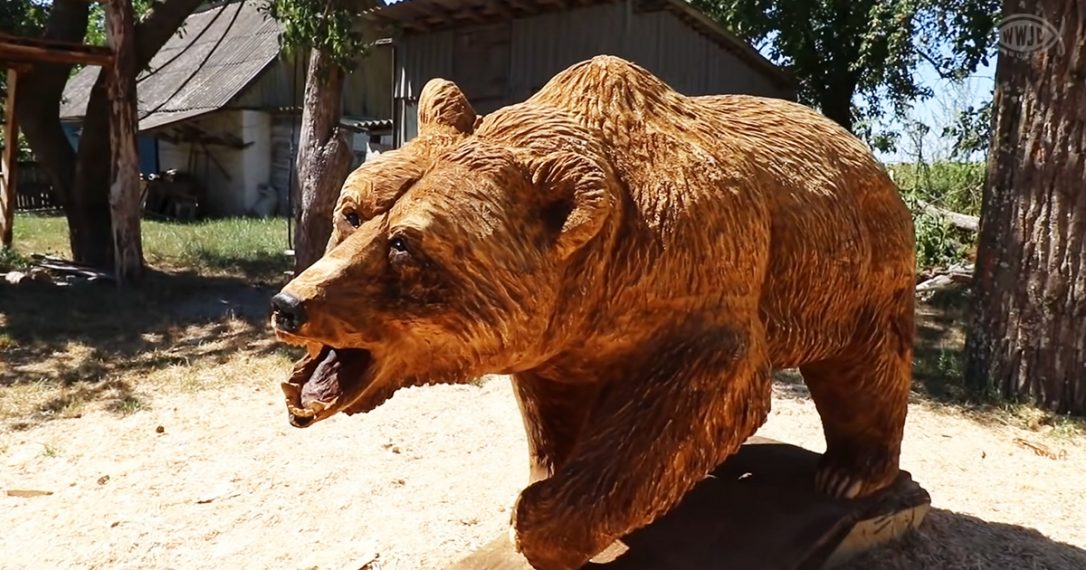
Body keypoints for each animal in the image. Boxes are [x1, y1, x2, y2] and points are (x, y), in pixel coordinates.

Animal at [271, 56, 915, 570]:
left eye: (405, 244)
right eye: (352, 213)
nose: (290, 305)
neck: (604, 269)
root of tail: (865, 151)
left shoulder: (702, 279)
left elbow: (683, 408)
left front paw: (542, 522)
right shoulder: (558, 333)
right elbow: (553, 408)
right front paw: (547, 481)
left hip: (856, 267)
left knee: (868, 367)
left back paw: (853, 473)